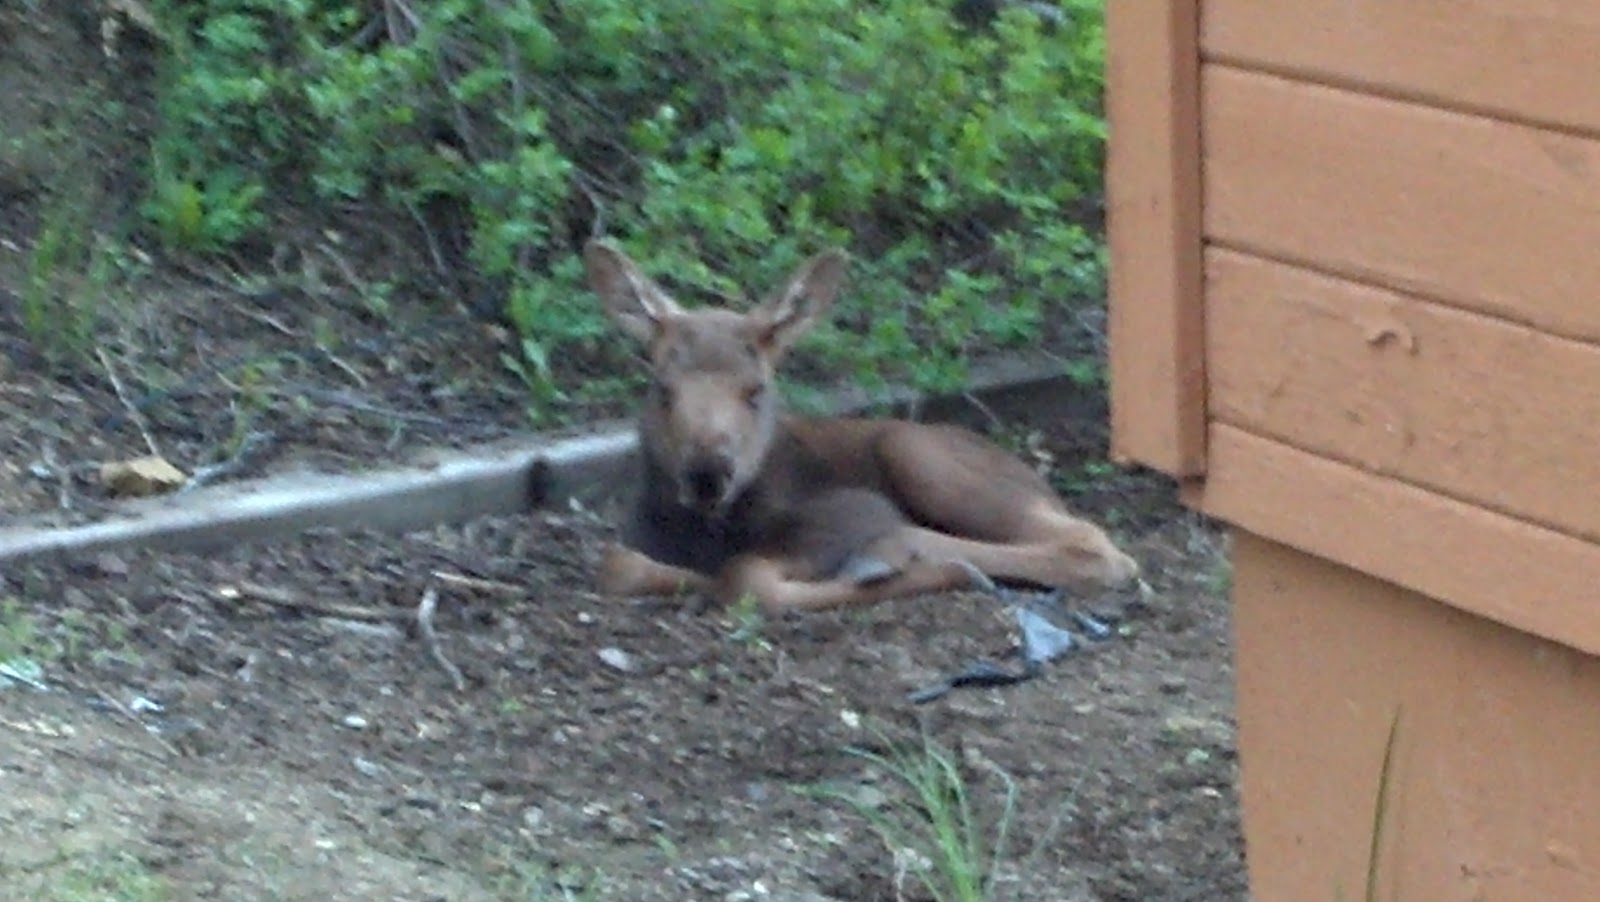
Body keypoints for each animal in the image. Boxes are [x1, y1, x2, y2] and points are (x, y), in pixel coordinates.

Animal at [584, 239, 1141, 618]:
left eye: (756, 389)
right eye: (663, 388)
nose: (707, 473)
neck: (703, 533)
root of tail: (1039, 482)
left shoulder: (849, 515)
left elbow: (746, 577)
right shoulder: (632, 543)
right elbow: (621, 566)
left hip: (914, 451)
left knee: (1092, 544)